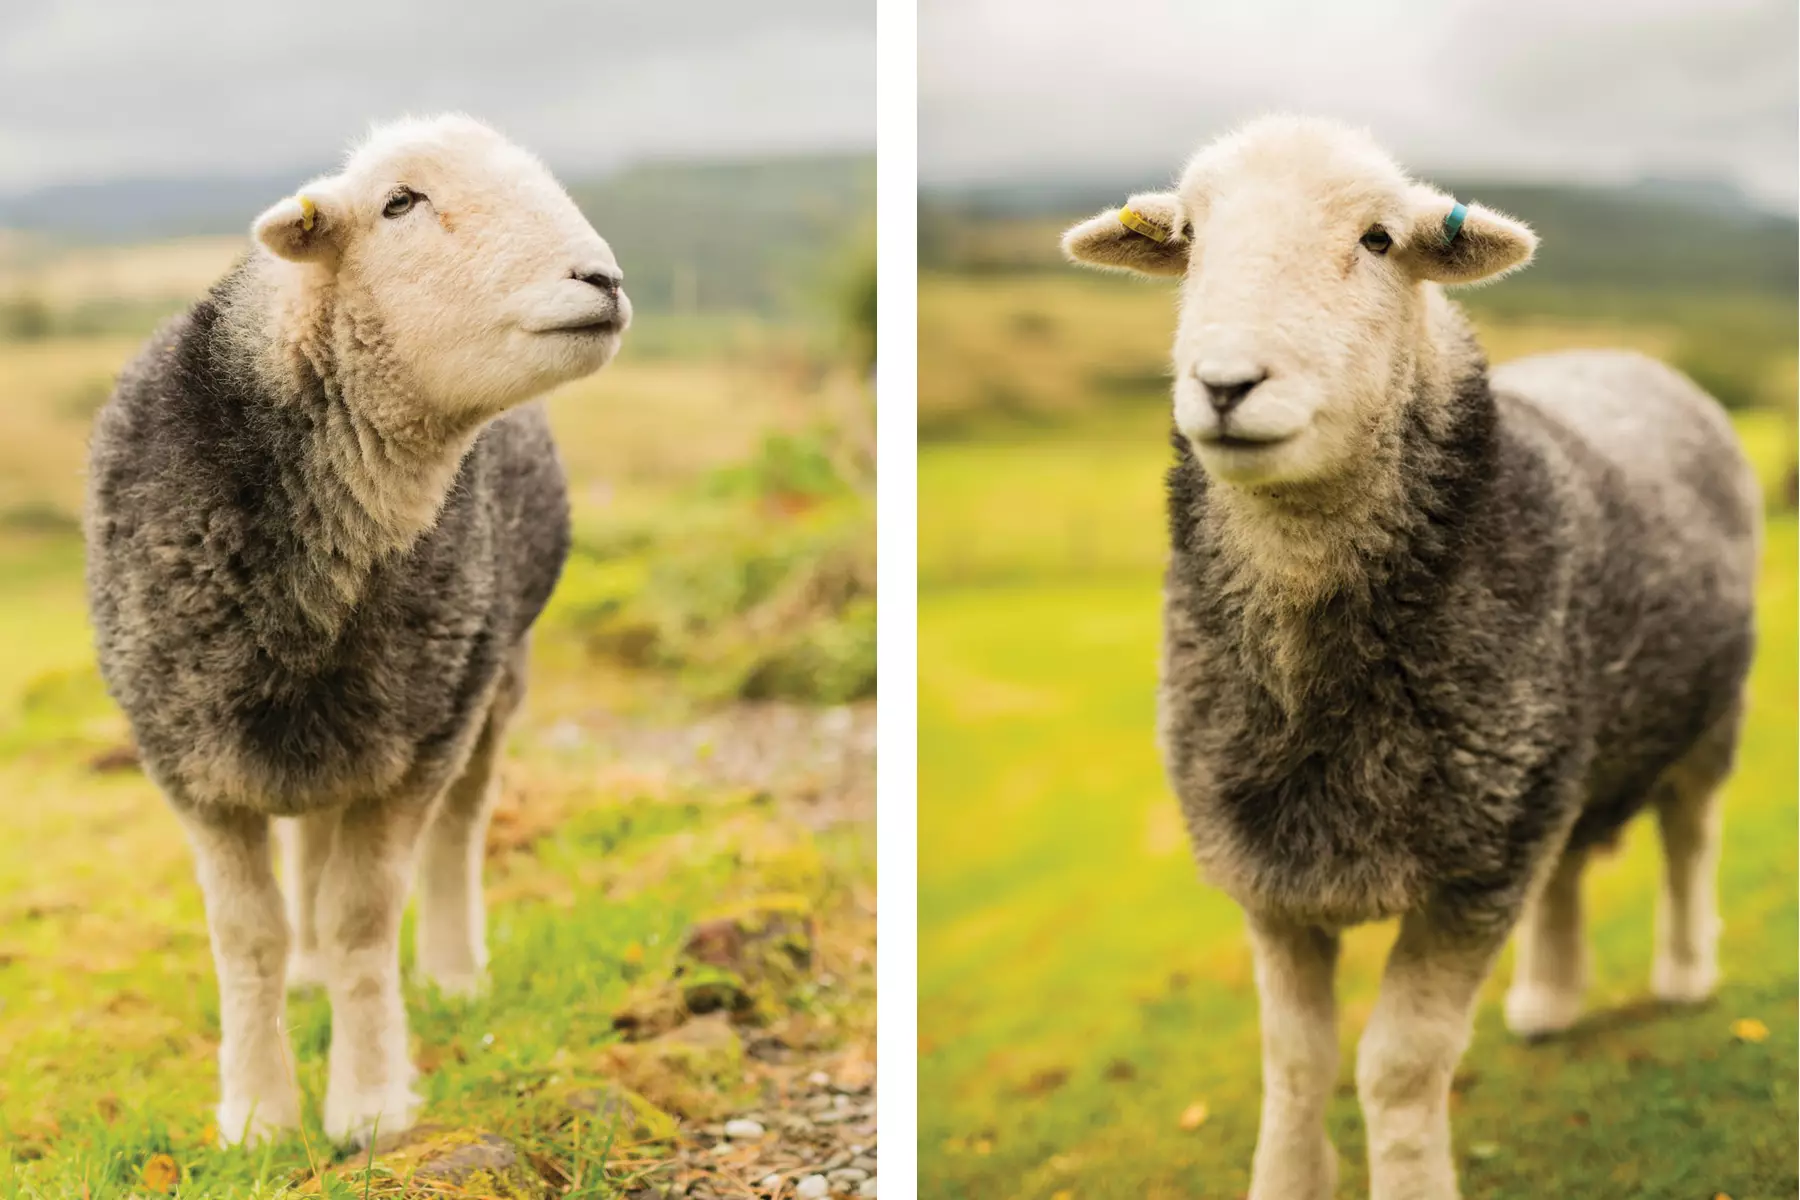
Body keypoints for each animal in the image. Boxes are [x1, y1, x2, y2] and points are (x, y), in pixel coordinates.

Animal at [85, 116, 633, 1151]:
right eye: (399, 203)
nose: (604, 280)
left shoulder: (413, 746)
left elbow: (364, 920)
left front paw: (369, 1105)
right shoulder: (187, 760)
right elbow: (246, 935)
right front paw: (257, 1114)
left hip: (486, 678)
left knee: (461, 828)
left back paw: (455, 975)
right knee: (309, 836)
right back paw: (306, 981)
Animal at [1058, 116, 1749, 1200]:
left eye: (1379, 240)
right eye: (1192, 240)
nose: (1225, 384)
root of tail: (1628, 358)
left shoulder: (1474, 872)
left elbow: (1398, 1064)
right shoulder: (1274, 873)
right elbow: (1296, 1061)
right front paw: (1288, 1178)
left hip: (1694, 726)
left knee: (1689, 839)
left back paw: (1683, 976)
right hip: (1550, 750)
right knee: (1567, 865)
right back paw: (1548, 1000)